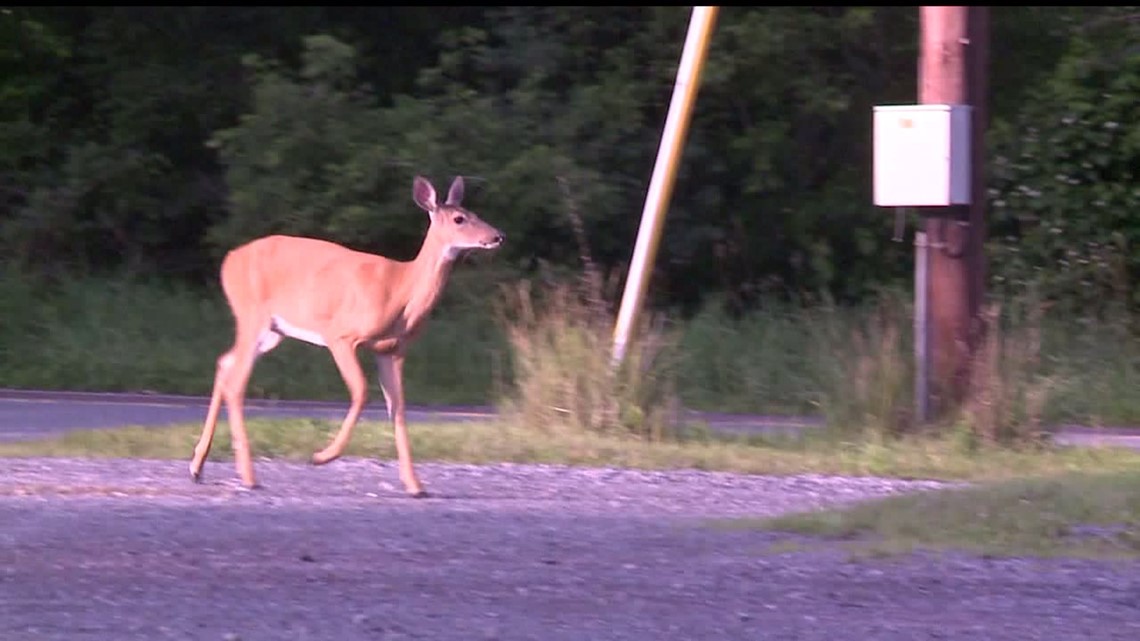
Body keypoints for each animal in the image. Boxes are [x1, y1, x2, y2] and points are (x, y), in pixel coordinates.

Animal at [188, 175, 505, 498]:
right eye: (459, 218)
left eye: (474, 212)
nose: (497, 236)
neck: (400, 291)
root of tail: (228, 261)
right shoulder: (341, 335)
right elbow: (362, 391)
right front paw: (321, 456)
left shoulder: (393, 350)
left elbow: (398, 408)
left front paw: (415, 485)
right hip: (252, 315)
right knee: (236, 381)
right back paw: (248, 476)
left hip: (273, 331)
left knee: (225, 362)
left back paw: (198, 467)